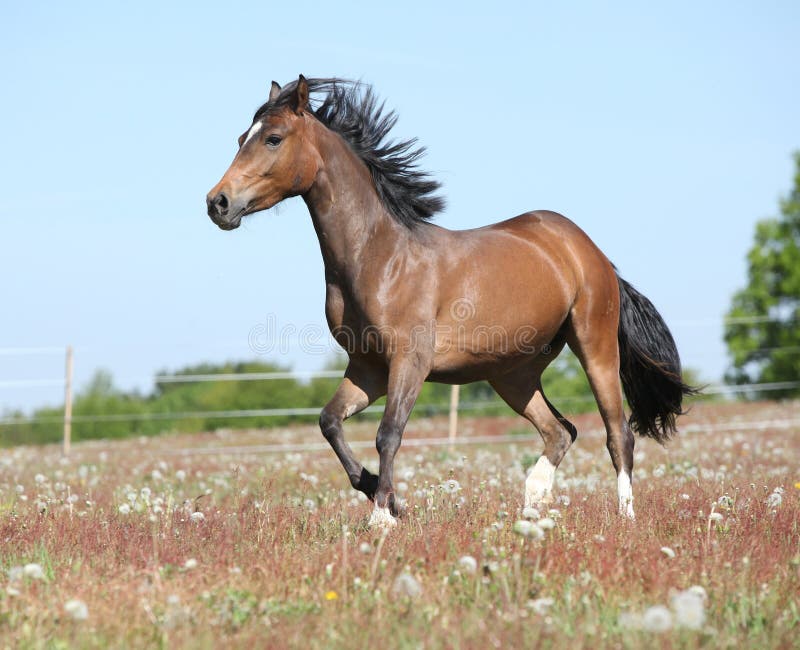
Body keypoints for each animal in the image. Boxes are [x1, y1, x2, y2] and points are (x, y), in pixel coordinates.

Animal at [207, 76, 696, 527]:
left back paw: (624, 518)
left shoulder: (410, 361)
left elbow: (389, 434)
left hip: (595, 347)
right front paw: (383, 496)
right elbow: (329, 422)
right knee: (561, 431)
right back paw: (534, 500)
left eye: (273, 138)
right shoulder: (367, 368)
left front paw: (383, 515)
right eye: (241, 138)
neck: (379, 256)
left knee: (618, 434)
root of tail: (590, 251)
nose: (218, 203)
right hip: (513, 374)